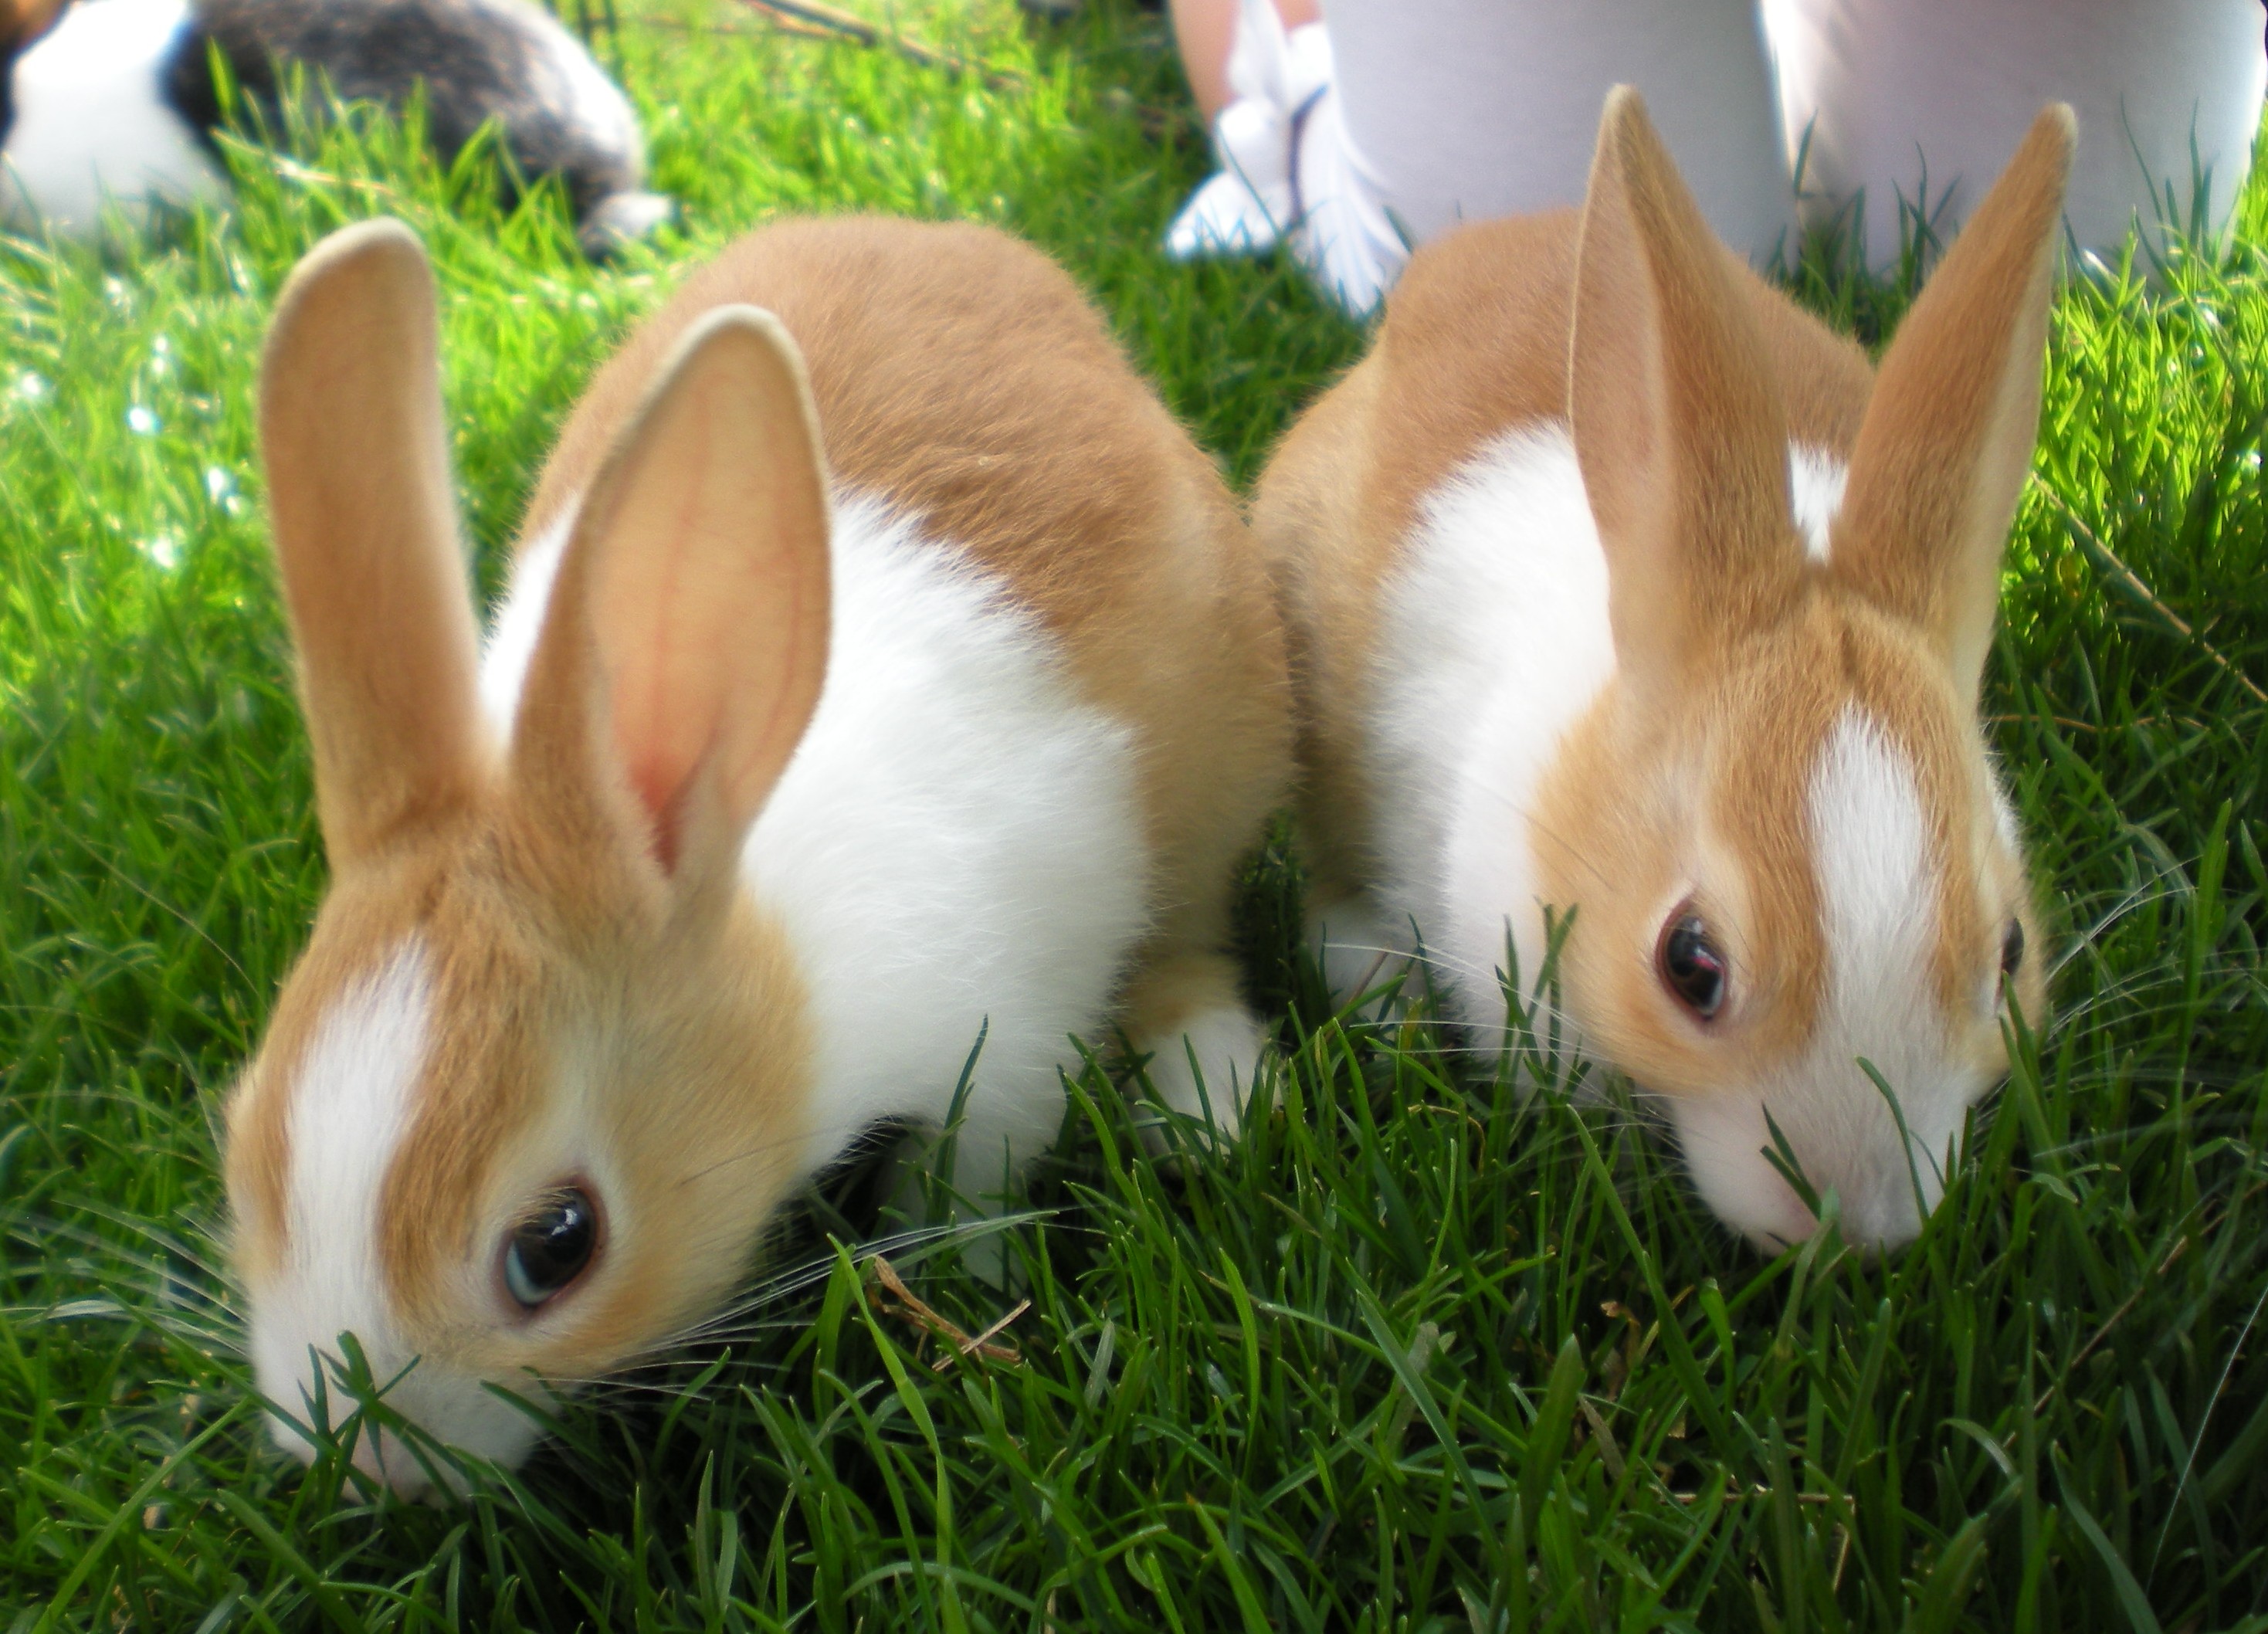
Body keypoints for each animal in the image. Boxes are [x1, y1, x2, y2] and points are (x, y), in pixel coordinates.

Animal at [222, 213, 1290, 1495]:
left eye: (556, 1247)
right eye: (242, 1145)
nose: (374, 1473)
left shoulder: (1014, 1043)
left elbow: (971, 1179)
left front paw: (947, 1293)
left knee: (1195, 939)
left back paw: (1209, 1099)